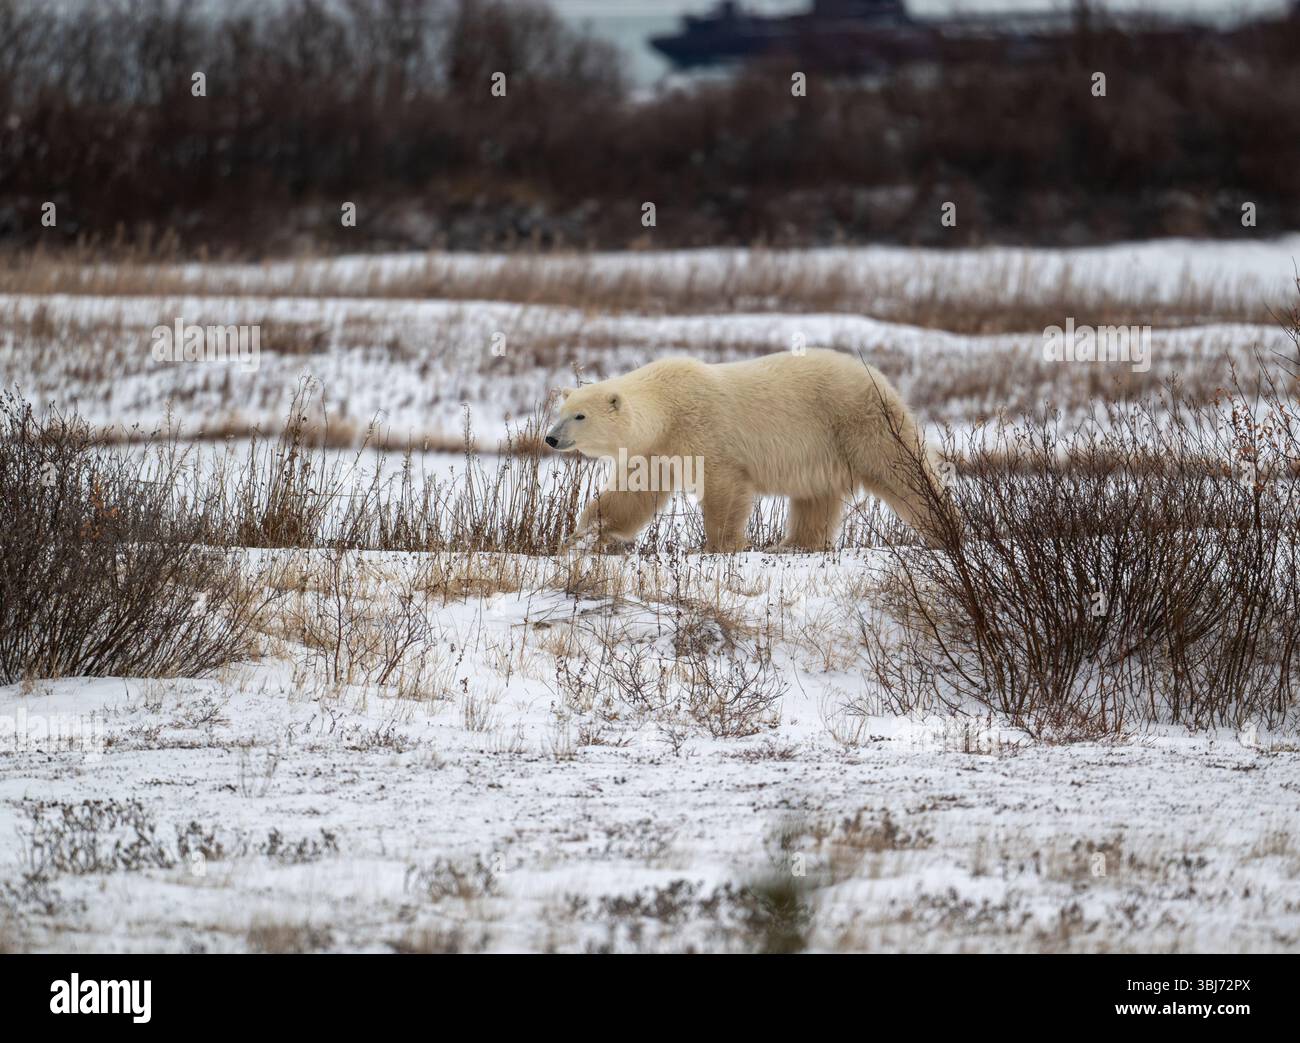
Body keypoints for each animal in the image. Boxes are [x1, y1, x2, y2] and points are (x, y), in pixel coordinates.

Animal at [545, 349, 957, 552]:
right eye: (560, 412)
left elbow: (723, 489)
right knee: (815, 497)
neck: (667, 407)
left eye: (580, 415)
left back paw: (944, 529)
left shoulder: (705, 431)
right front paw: (580, 537)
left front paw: (718, 547)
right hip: (823, 447)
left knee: (900, 470)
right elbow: (629, 496)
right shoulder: (655, 450)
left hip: (858, 420)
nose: (550, 438)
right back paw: (791, 546)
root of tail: (881, 378)